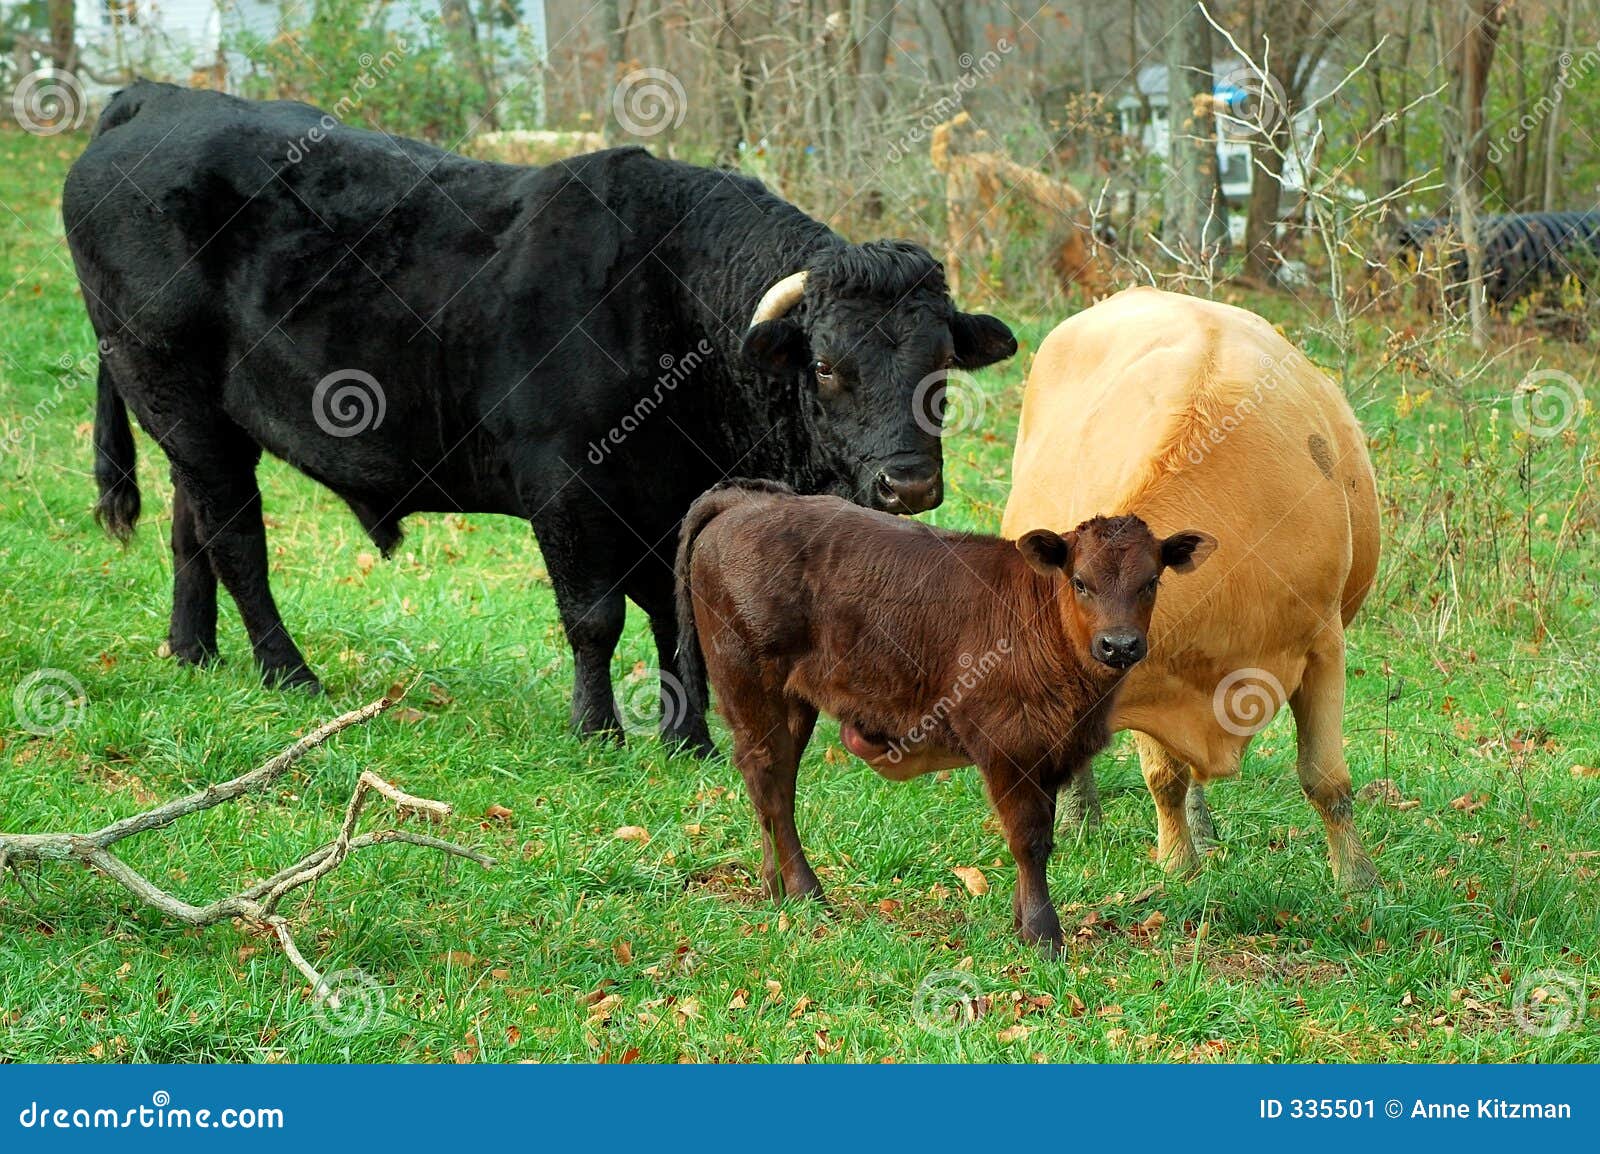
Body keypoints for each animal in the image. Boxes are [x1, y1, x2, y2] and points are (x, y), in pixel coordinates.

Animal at [62, 82, 1017, 750]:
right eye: (824, 366)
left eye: (939, 369)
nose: (907, 484)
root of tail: (158, 98)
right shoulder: (567, 485)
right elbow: (595, 617)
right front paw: (599, 731)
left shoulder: (671, 500)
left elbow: (674, 617)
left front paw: (687, 739)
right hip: (173, 395)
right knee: (235, 539)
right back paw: (287, 673)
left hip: (199, 420)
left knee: (191, 526)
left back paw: (195, 652)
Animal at [674, 480, 1215, 953]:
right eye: (1080, 582)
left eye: (1151, 581)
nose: (1119, 645)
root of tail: (747, 500)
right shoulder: (1008, 746)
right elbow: (1029, 840)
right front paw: (1043, 936)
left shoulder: (1051, 752)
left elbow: (1040, 837)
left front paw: (1022, 921)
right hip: (749, 683)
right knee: (769, 781)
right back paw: (808, 893)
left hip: (788, 704)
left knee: (774, 785)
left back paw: (777, 888)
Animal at [843, 287, 1382, 890]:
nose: (867, 734)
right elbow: (1163, 773)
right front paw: (1179, 865)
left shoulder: (1325, 643)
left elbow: (1325, 778)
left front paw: (1358, 882)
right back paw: (1086, 819)